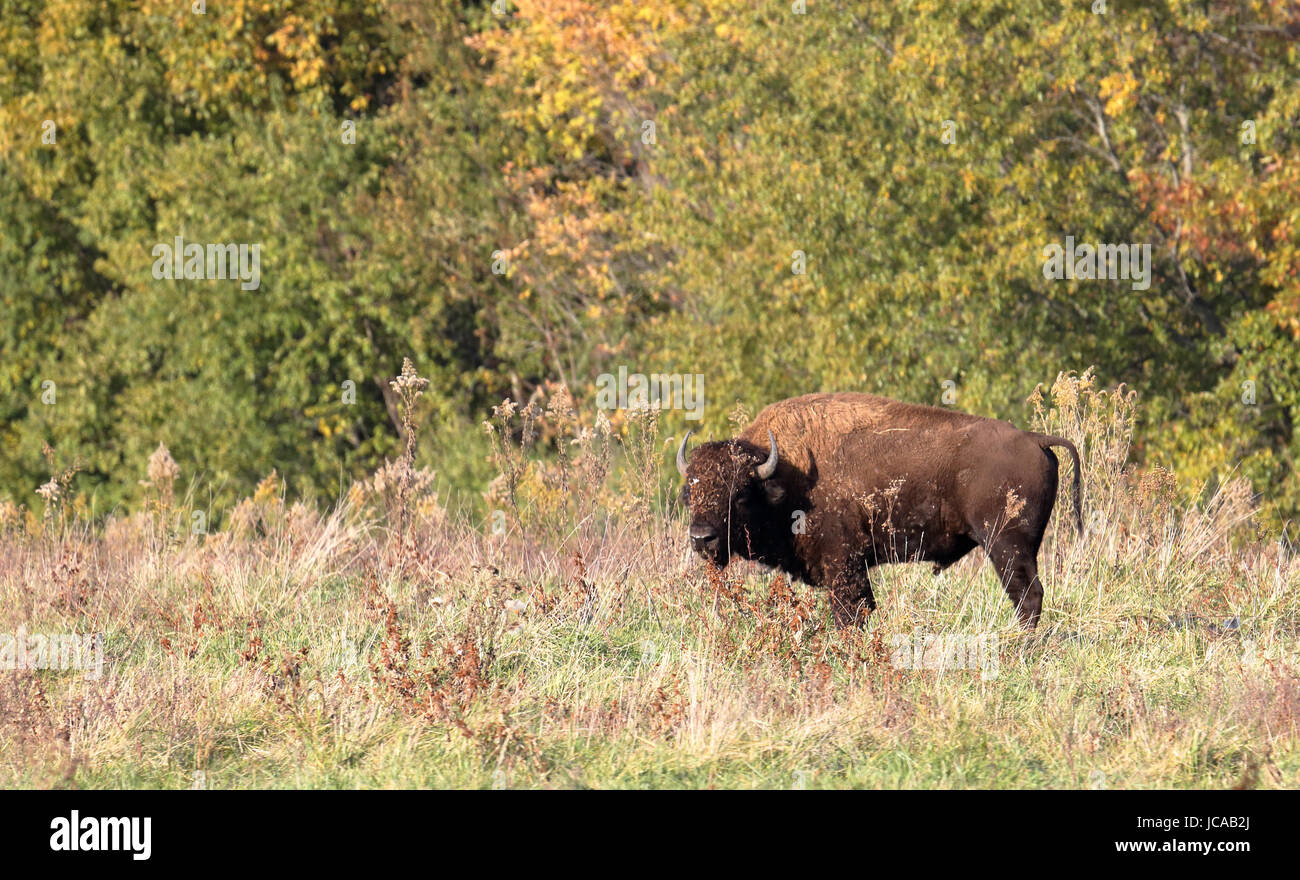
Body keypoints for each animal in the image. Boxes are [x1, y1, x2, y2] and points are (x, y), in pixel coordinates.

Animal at [676, 392, 1082, 629]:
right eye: (691, 493)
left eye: (740, 494)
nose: (701, 538)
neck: (785, 474)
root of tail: (1035, 439)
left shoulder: (843, 565)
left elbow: (850, 615)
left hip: (1007, 546)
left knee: (1028, 596)